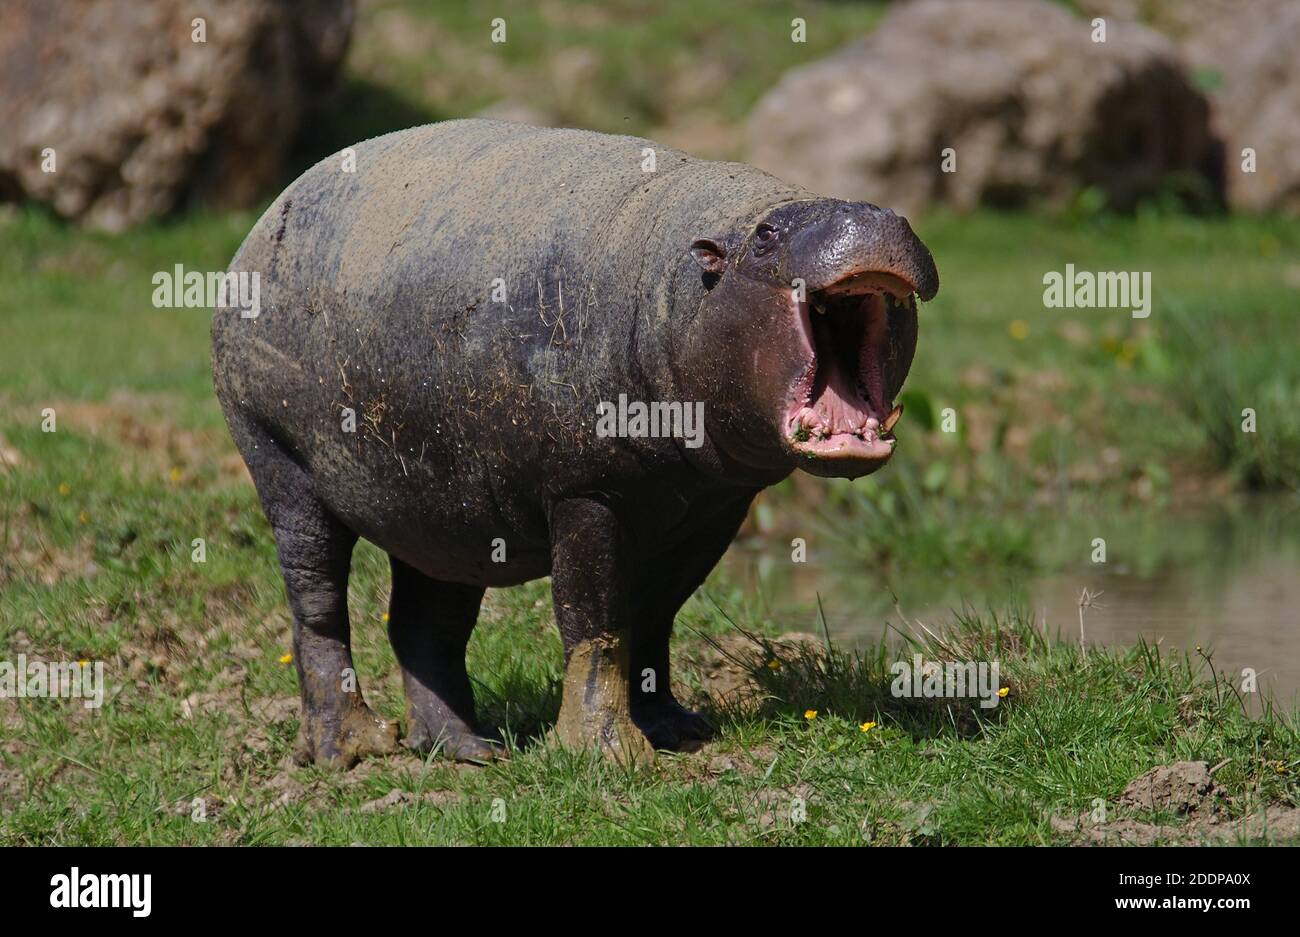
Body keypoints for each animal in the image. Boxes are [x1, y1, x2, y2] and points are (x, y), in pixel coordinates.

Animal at [212, 119, 938, 767]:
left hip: (440, 511)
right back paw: (349, 749)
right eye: (766, 236)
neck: (678, 282)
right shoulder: (587, 492)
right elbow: (595, 621)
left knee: (424, 625)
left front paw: (678, 730)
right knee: (317, 606)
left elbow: (654, 614)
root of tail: (261, 224)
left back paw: (469, 751)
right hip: (281, 465)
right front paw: (611, 756)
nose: (877, 216)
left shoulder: (714, 507)